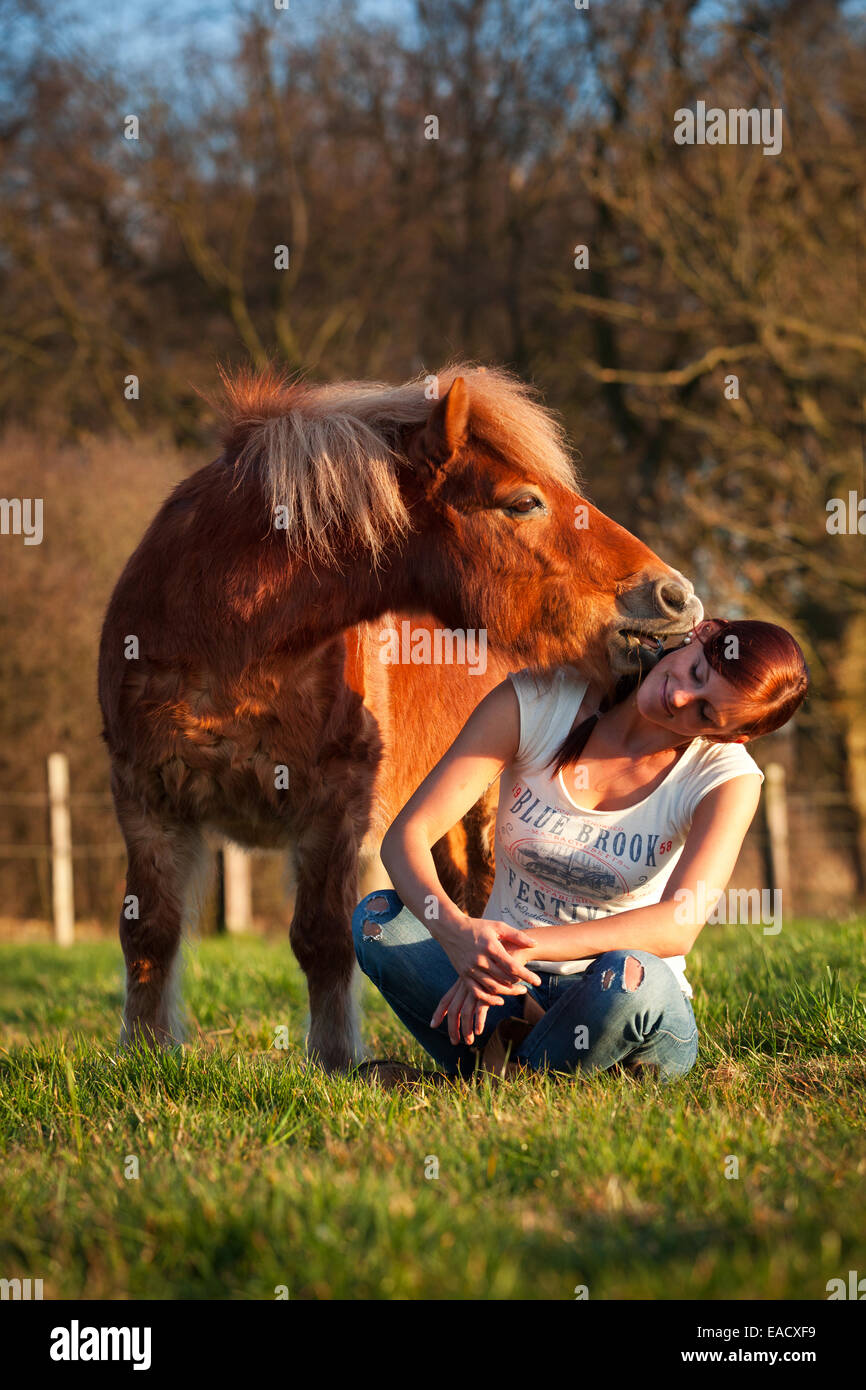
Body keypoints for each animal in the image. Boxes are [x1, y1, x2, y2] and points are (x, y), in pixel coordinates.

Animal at [98, 361, 703, 1071]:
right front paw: (144, 1054)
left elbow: (323, 939)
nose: (676, 595)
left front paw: (334, 1061)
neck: (228, 646)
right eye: (524, 501)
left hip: (480, 813)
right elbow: (149, 934)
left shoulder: (335, 812)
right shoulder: (147, 802)